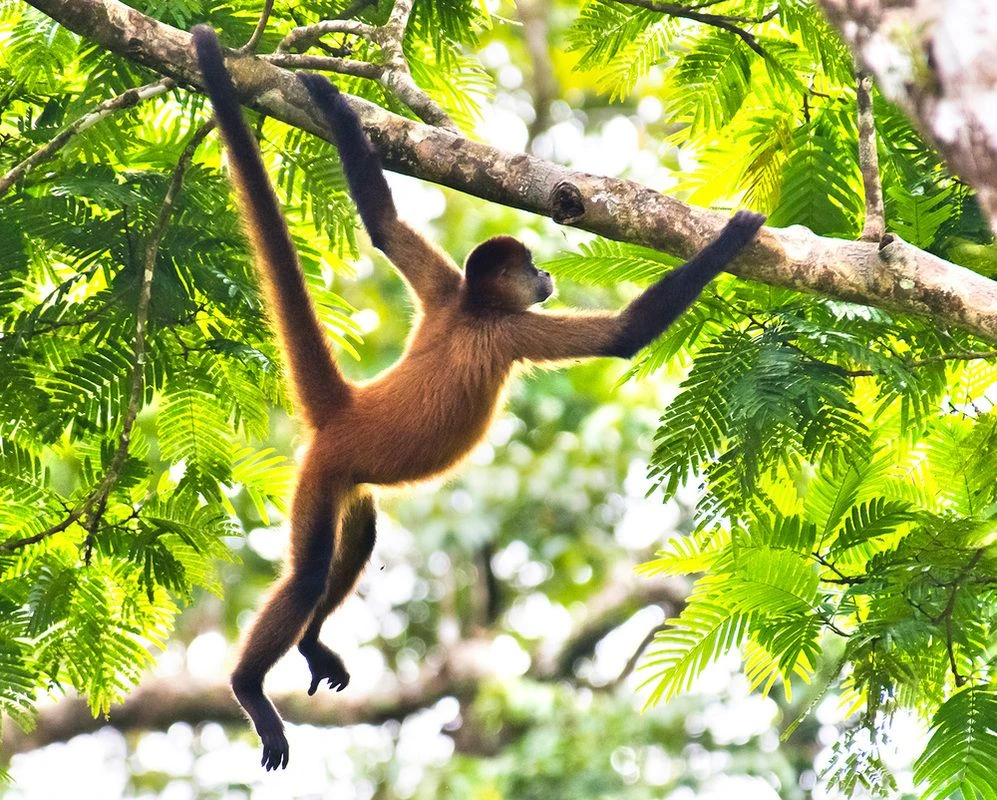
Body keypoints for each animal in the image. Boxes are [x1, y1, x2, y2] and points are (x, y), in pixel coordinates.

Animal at [191, 25, 765, 771]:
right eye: (532, 269)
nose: (547, 275)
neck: (470, 308)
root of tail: (347, 407)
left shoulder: (443, 293)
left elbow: (382, 223)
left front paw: (332, 101)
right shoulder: (506, 329)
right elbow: (622, 336)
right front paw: (733, 237)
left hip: (346, 485)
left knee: (359, 536)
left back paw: (311, 641)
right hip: (320, 475)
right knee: (310, 571)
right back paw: (249, 689)